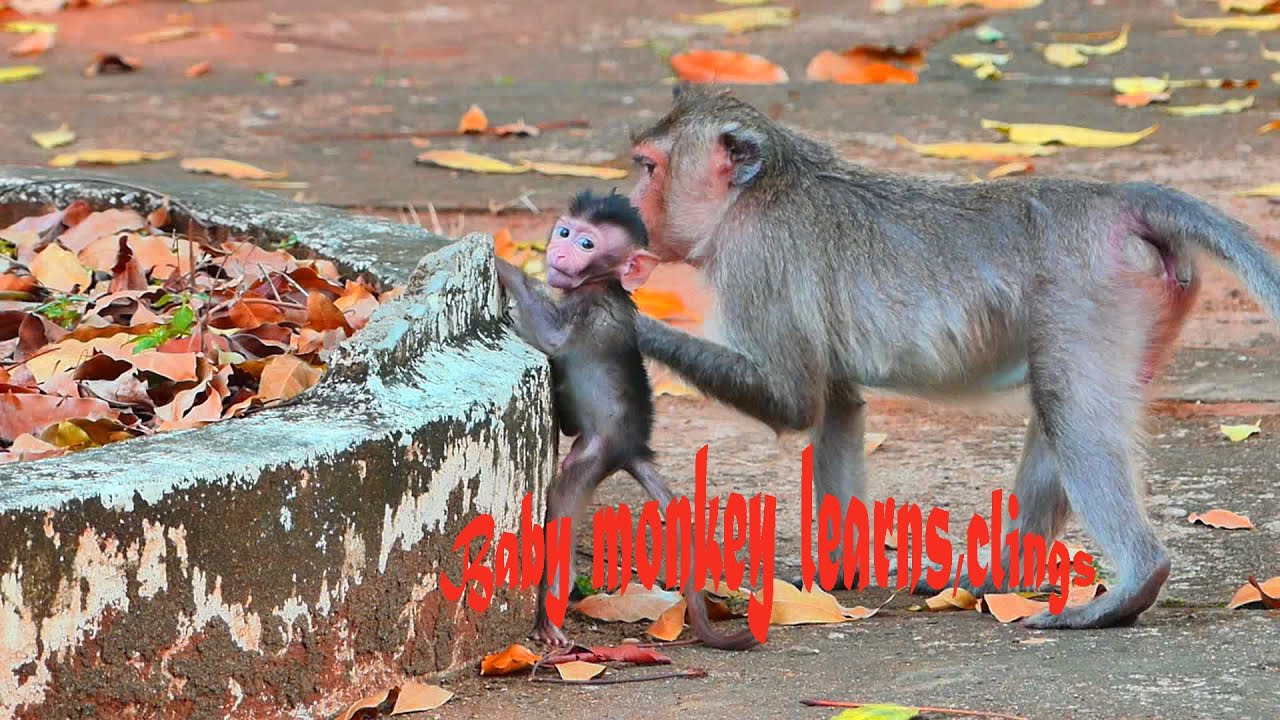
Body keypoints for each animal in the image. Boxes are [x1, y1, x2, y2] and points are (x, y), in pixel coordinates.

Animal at [494, 190, 759, 649]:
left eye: (588, 244)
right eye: (565, 232)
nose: (559, 250)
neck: (601, 285)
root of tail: (633, 447)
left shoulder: (593, 310)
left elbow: (552, 339)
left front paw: (502, 265)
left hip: (597, 452)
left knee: (561, 503)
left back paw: (549, 619)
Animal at [625, 86, 1280, 629]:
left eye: (649, 168)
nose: (626, 206)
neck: (759, 192)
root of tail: (1115, 199)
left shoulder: (756, 265)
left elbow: (794, 401)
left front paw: (625, 320)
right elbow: (836, 408)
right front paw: (830, 578)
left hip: (1088, 294)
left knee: (1069, 410)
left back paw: (1131, 585)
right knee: (1063, 411)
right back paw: (997, 579)